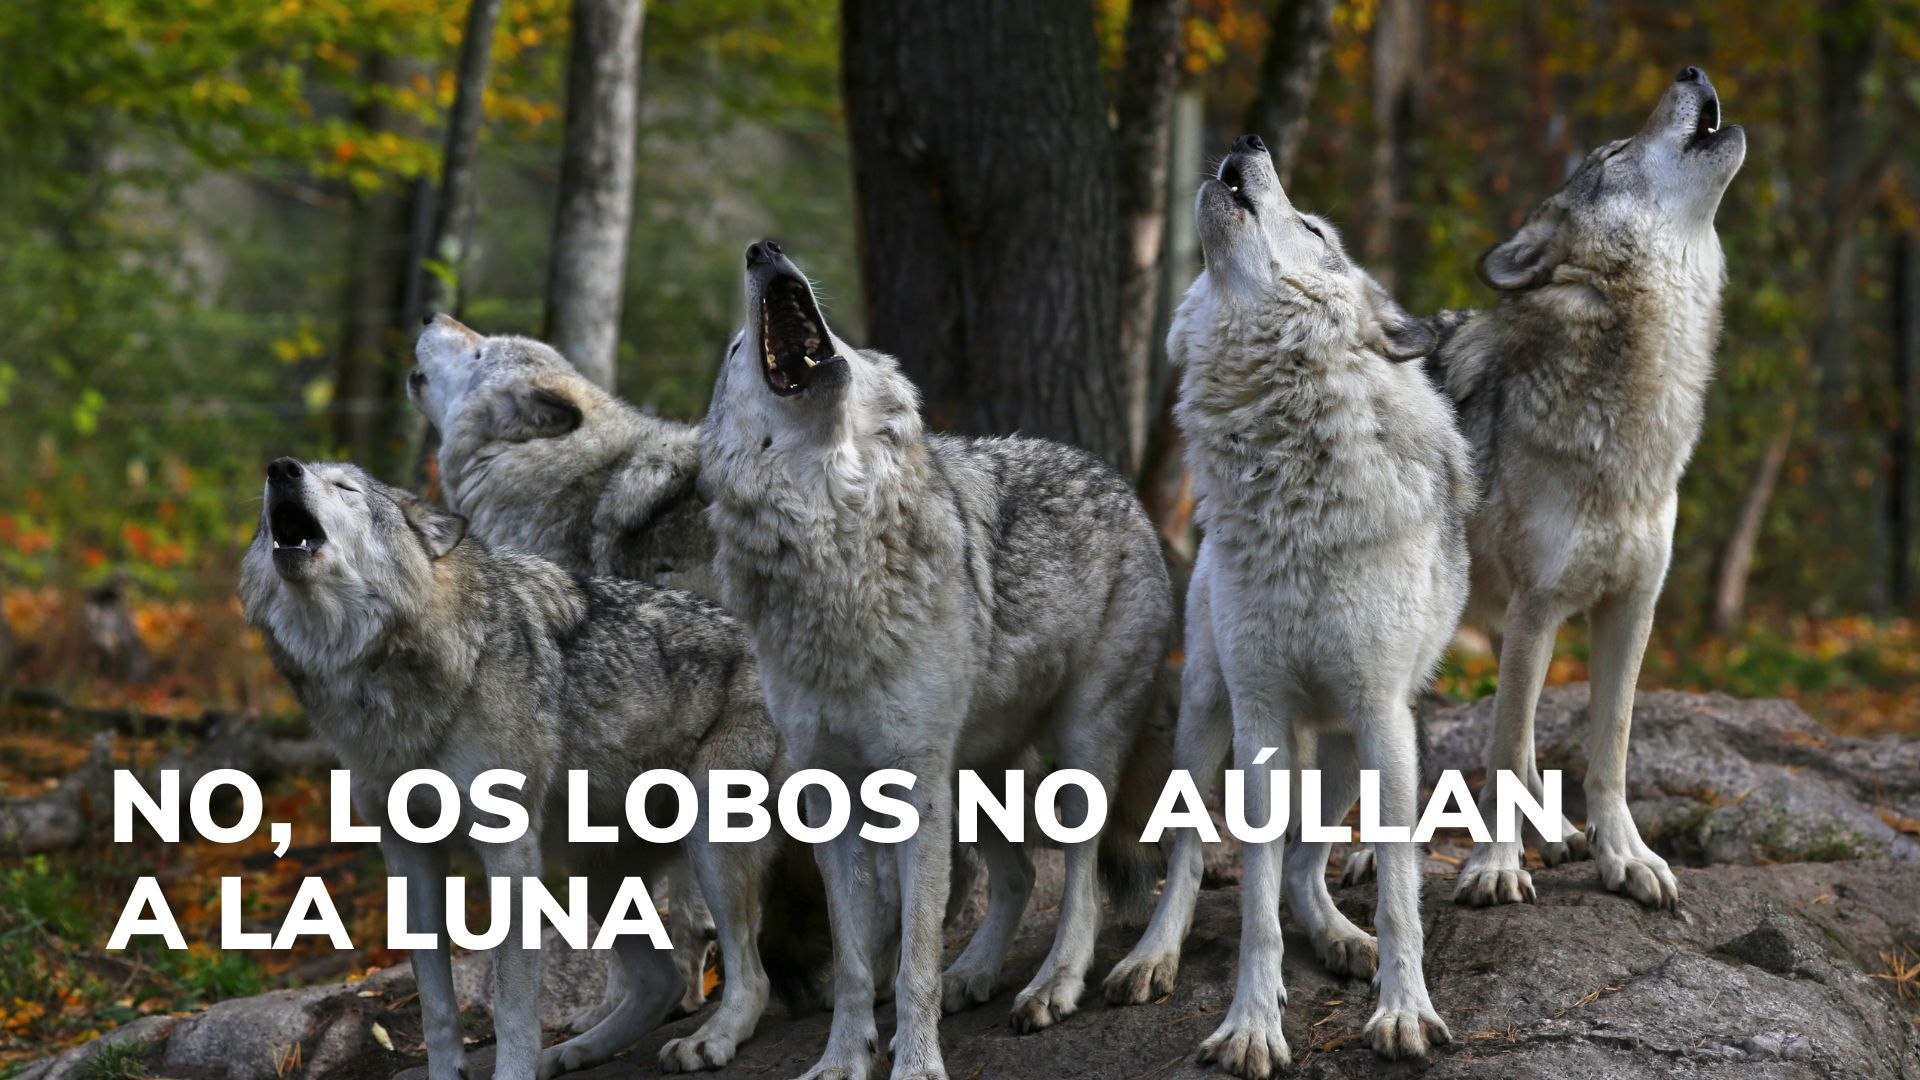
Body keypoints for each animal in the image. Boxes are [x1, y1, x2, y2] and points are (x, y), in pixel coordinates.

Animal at [239, 458, 787, 1078]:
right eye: (280, 484)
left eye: (344, 487)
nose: (281, 469)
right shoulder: (409, 858)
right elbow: (436, 1004)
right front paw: (448, 1072)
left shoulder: (508, 850)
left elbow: (511, 1002)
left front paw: (515, 1069)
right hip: (595, 877)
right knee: (659, 981)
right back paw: (572, 1052)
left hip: (709, 843)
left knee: (750, 974)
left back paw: (709, 1040)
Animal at [700, 240, 1175, 1080]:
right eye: (733, 353)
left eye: (847, 336)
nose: (763, 248)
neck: (836, 544)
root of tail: (1116, 478)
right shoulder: (833, 796)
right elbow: (857, 964)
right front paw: (843, 1059)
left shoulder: (914, 784)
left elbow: (913, 955)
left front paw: (917, 1062)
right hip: (979, 771)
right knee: (1020, 875)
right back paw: (976, 975)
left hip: (1079, 748)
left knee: (1082, 879)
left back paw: (1054, 986)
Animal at [1104, 134, 1472, 1075]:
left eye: (1312, 229)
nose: (1249, 140)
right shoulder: (1262, 714)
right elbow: (1254, 907)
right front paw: (1250, 1025)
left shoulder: (1382, 717)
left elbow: (1398, 893)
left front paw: (1404, 1011)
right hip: (1207, 717)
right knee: (1193, 856)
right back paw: (1152, 957)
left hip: (1349, 749)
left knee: (1310, 865)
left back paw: (1344, 940)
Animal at [1420, 66, 1744, 911]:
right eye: (1615, 152)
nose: (1691, 70)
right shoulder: (1540, 607)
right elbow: (1502, 750)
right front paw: (1494, 868)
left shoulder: (1629, 608)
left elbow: (1610, 749)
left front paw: (1623, 856)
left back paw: (1561, 836)